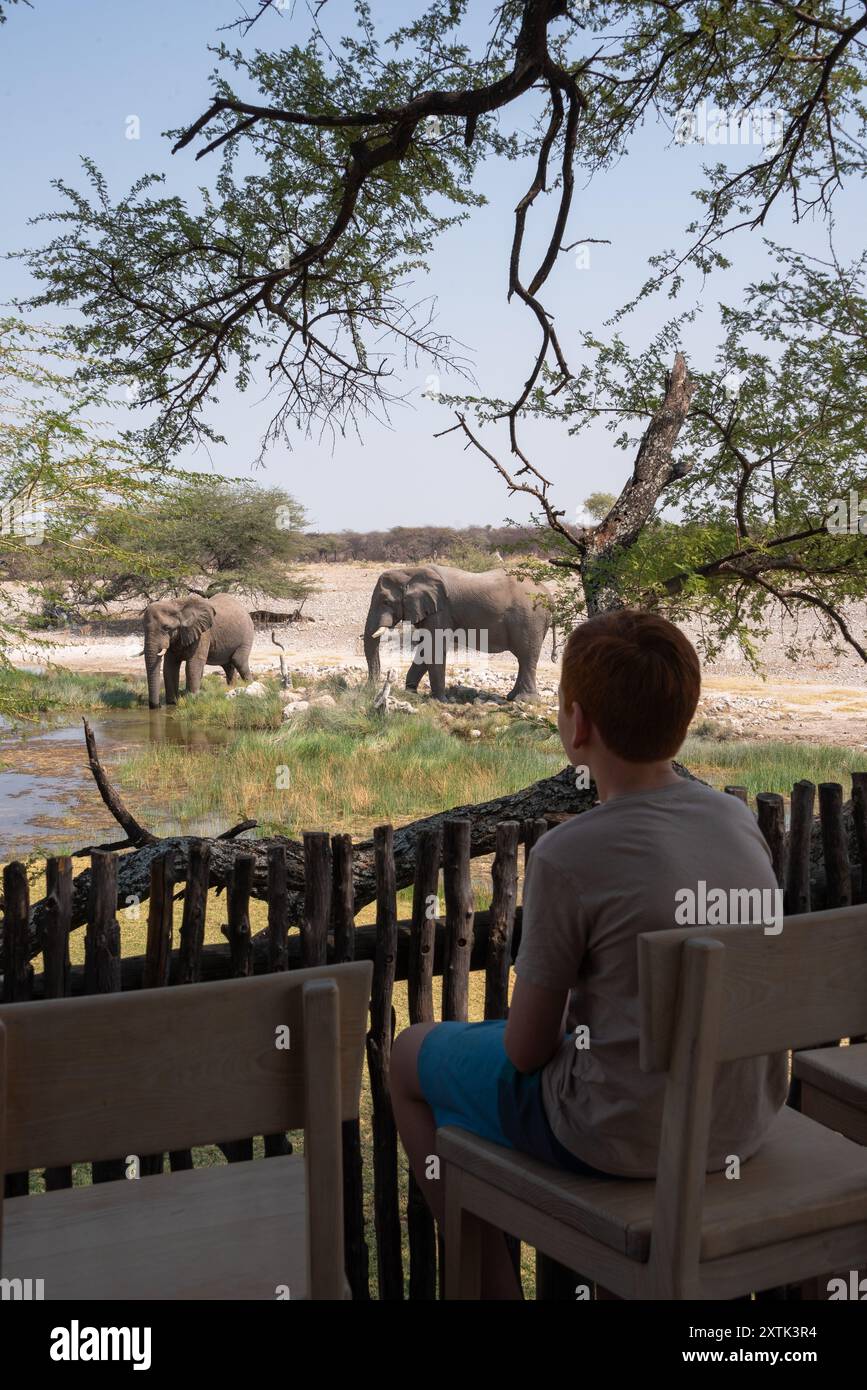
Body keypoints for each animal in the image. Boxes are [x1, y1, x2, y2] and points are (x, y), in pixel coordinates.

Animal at [363, 564, 553, 701]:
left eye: (386, 602)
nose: (369, 689)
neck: (409, 571)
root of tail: (547, 592)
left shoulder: (440, 610)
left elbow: (433, 648)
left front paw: (439, 700)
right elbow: (426, 649)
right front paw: (411, 693)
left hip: (530, 619)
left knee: (527, 656)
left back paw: (525, 701)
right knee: (524, 658)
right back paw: (512, 698)